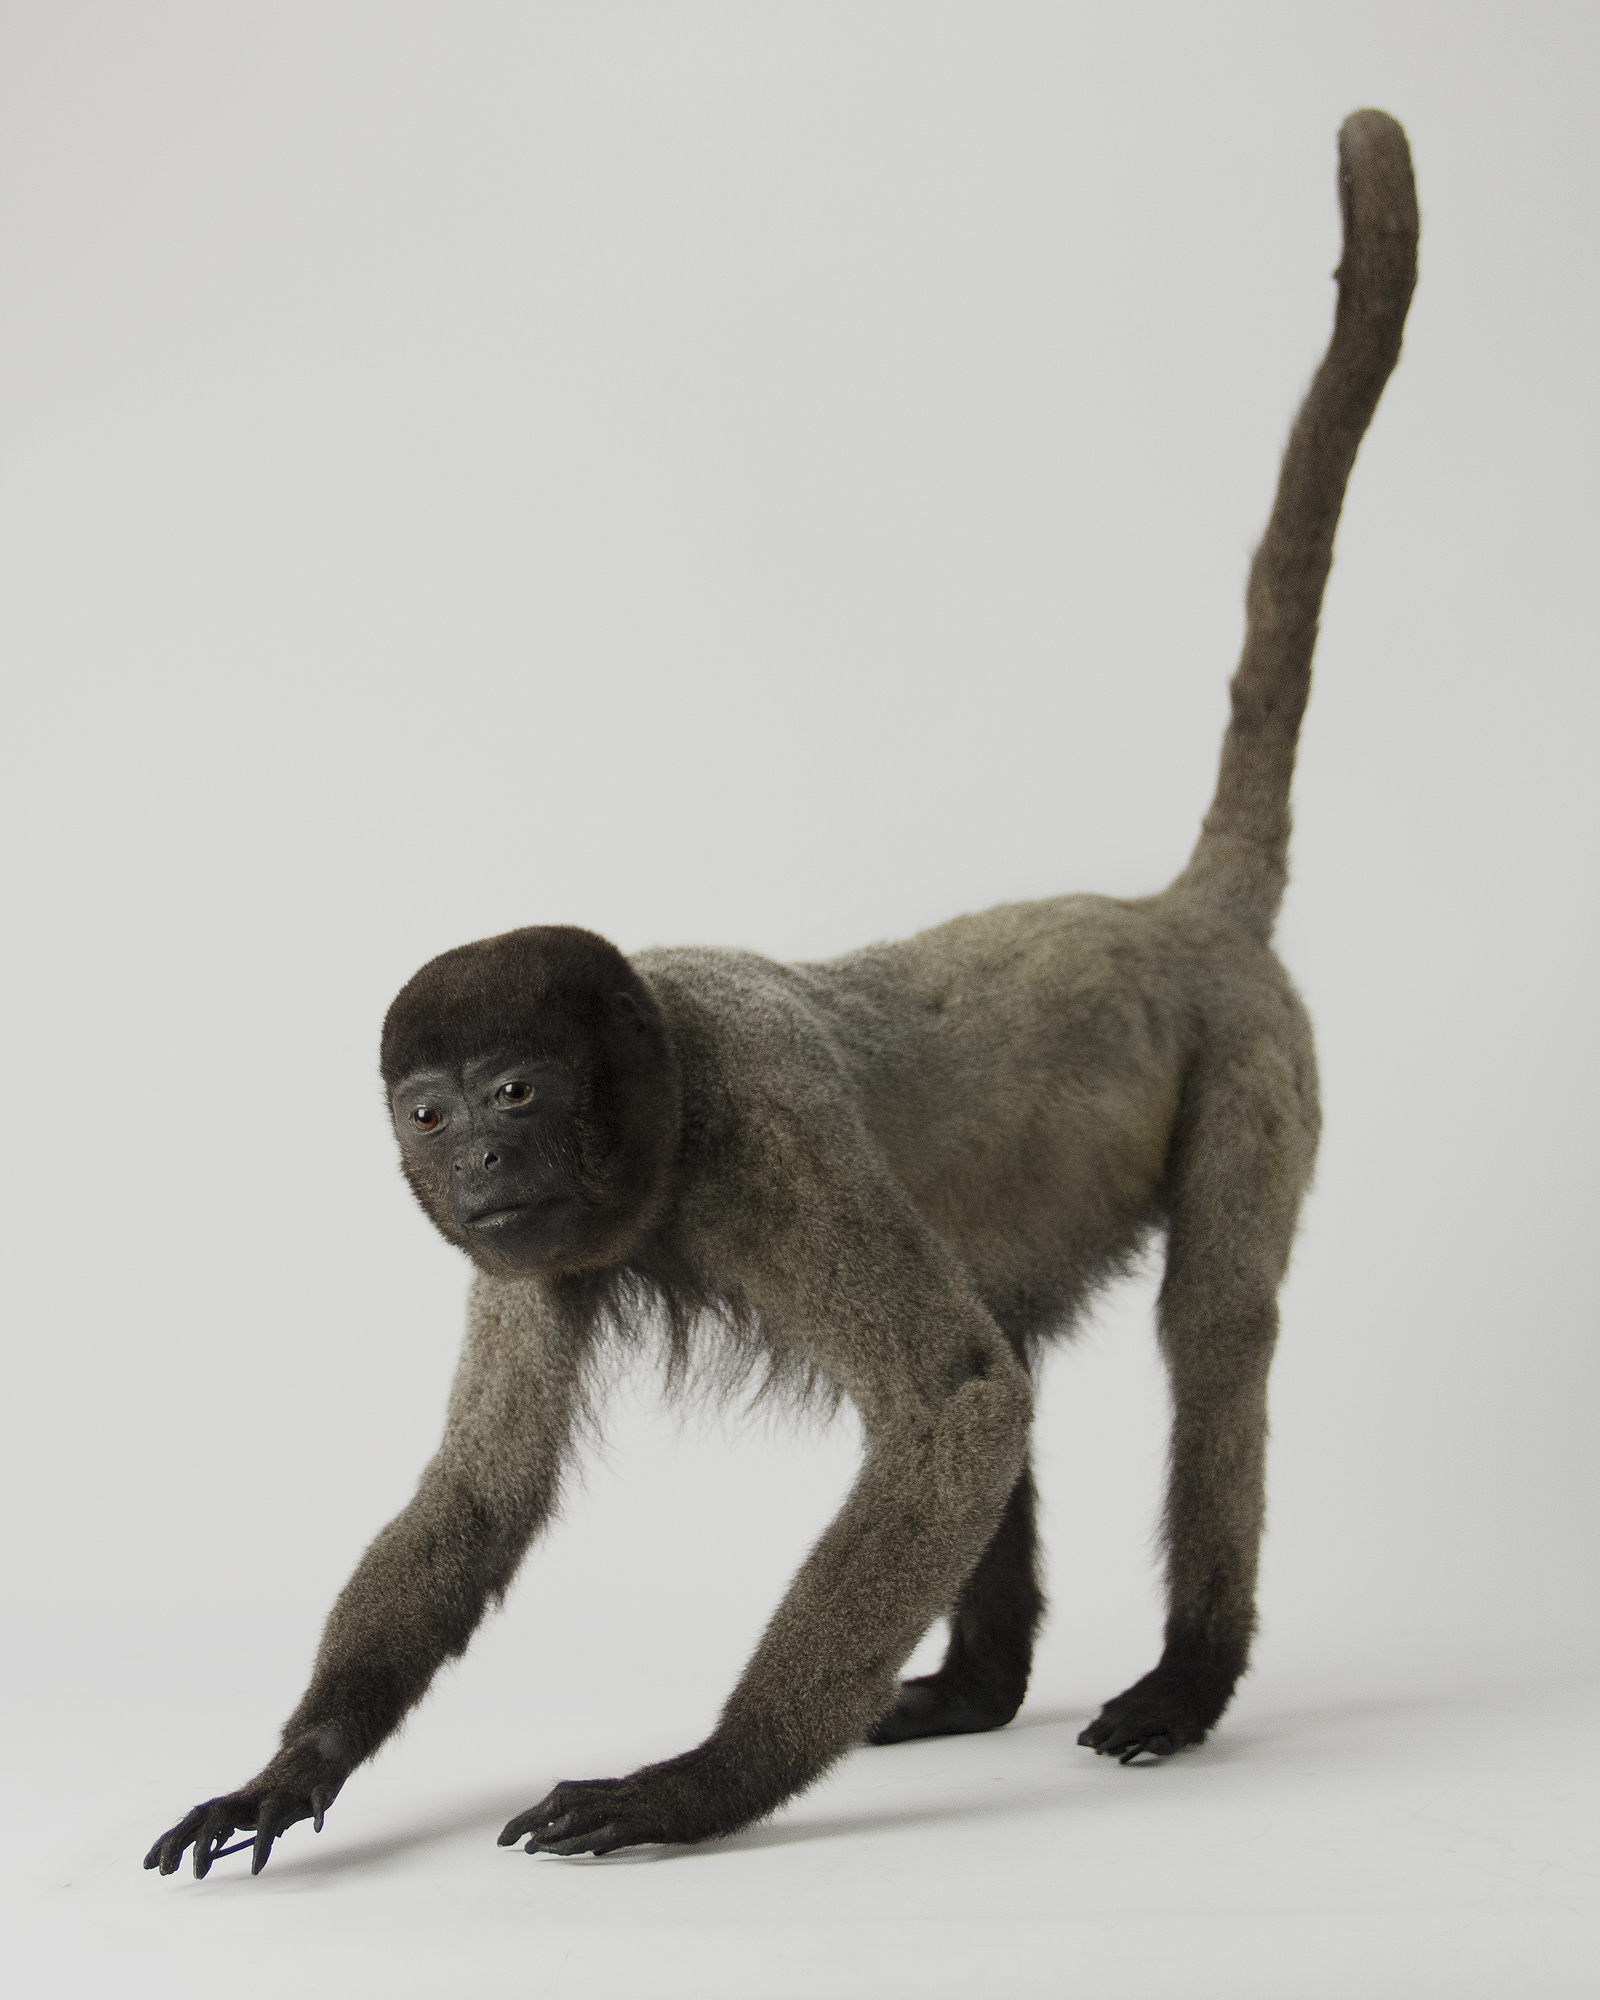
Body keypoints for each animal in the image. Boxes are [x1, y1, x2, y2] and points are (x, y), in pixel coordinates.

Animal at [145, 110, 1417, 1879]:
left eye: (516, 1091)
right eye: (429, 1110)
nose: (481, 1157)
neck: (662, 1090)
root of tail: (1178, 913)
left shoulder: (767, 1127)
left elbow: (951, 1407)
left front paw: (692, 1784)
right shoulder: (528, 1250)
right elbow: (477, 1499)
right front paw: (292, 1765)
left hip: (1257, 1056)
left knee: (1206, 1334)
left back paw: (1188, 1676)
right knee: (1012, 1339)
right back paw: (979, 1685)